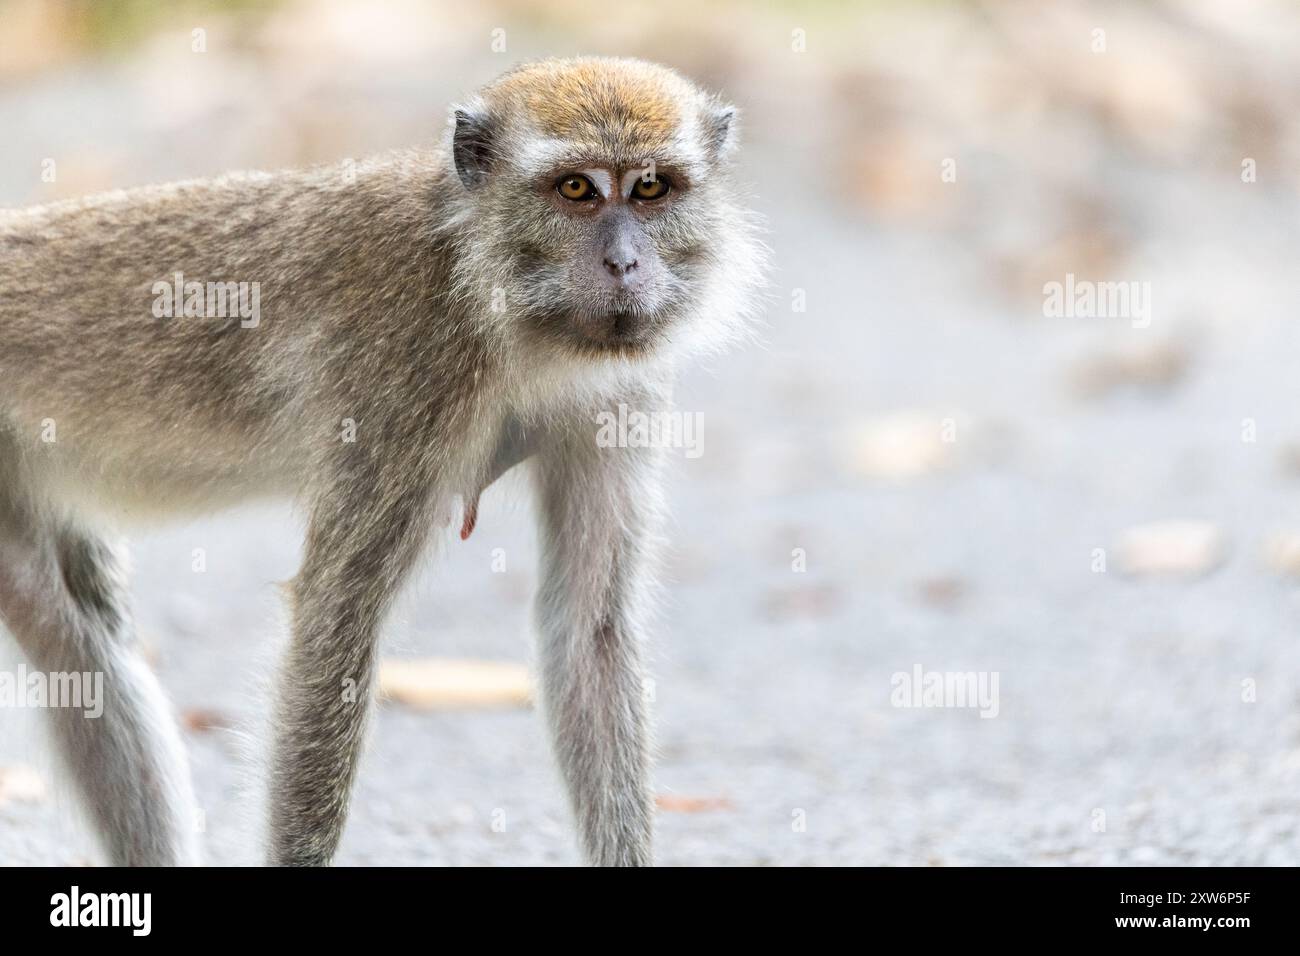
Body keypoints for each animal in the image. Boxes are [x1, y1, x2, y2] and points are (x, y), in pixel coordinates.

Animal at [0, 57, 765, 866]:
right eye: (576, 190)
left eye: (651, 189)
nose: (625, 262)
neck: (490, 292)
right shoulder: (408, 366)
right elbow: (337, 619)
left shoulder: (622, 387)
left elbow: (592, 630)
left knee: (68, 636)